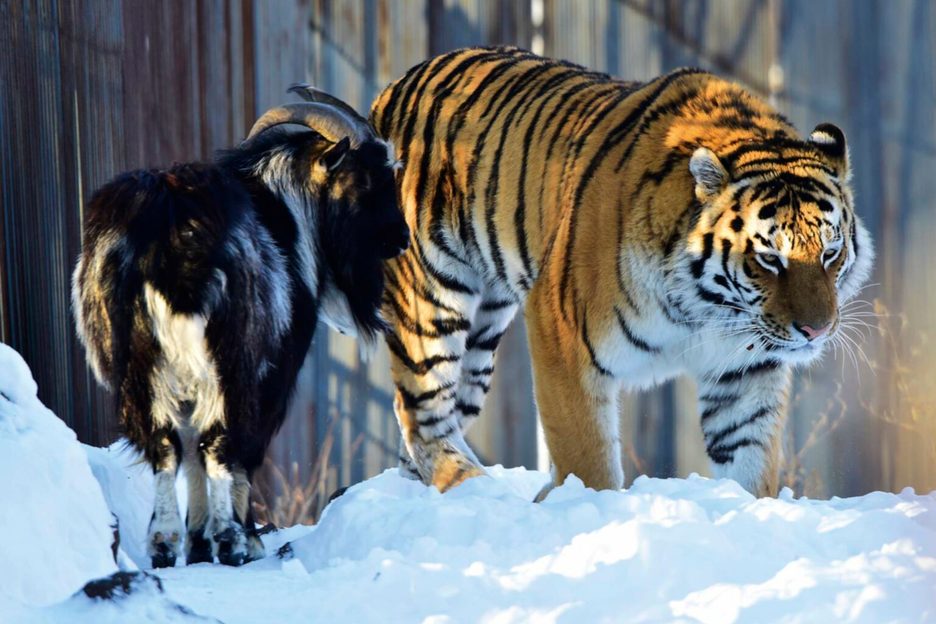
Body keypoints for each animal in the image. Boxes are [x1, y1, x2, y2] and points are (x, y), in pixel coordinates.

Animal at [73, 97, 409, 567]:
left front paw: (197, 542)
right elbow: (242, 452)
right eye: (366, 178)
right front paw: (242, 538)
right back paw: (231, 542)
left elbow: (190, 448)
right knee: (220, 443)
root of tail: (170, 225)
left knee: (164, 443)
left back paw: (165, 543)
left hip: (137, 363)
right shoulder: (273, 372)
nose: (401, 237)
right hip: (231, 356)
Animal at [368, 46, 873, 498]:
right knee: (420, 414)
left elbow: (750, 464)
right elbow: (588, 461)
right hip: (432, 295)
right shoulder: (561, 332)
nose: (816, 330)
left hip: (483, 329)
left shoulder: (745, 370)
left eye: (830, 253)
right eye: (769, 258)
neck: (709, 309)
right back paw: (476, 489)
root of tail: (392, 88)